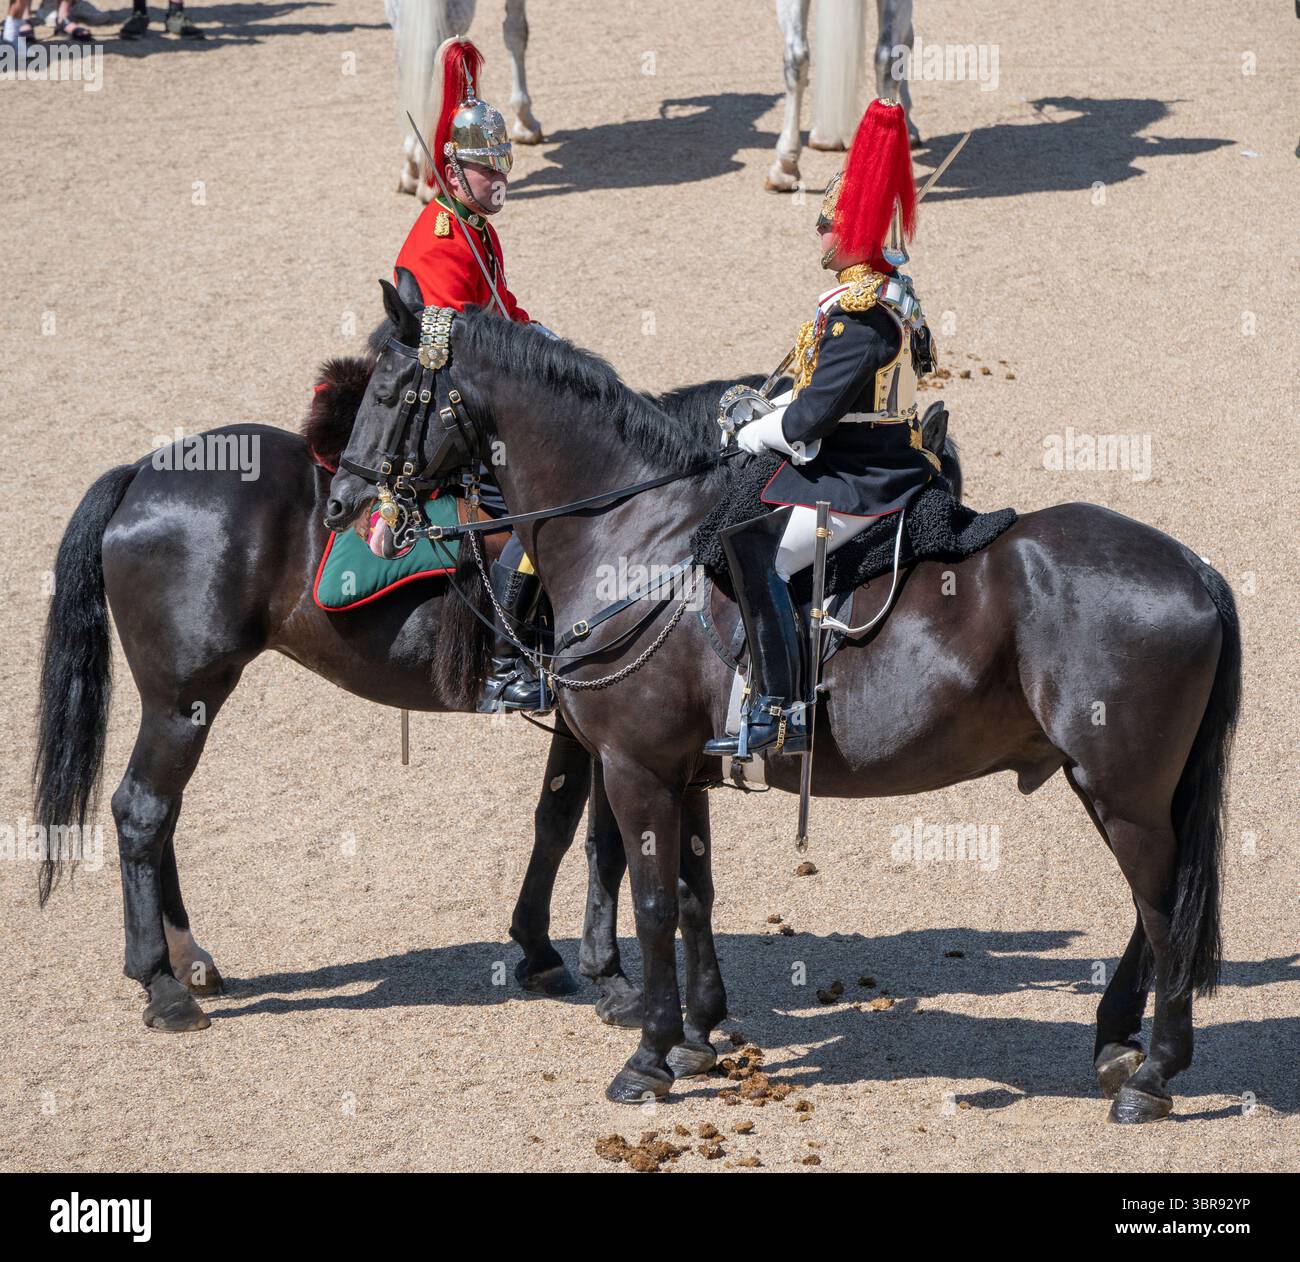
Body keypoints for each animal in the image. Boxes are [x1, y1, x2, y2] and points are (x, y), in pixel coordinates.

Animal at [330, 289, 1240, 1124]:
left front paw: (649, 1057)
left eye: (389, 393)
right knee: (1153, 908)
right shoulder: (682, 772)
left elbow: (651, 904)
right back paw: (1119, 1045)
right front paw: (697, 1036)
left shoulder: (634, 769)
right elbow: (692, 895)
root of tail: (1194, 567)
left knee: (1164, 911)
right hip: (1123, 790)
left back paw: (1154, 1074)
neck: (635, 536)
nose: (344, 503)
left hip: (1121, 789)